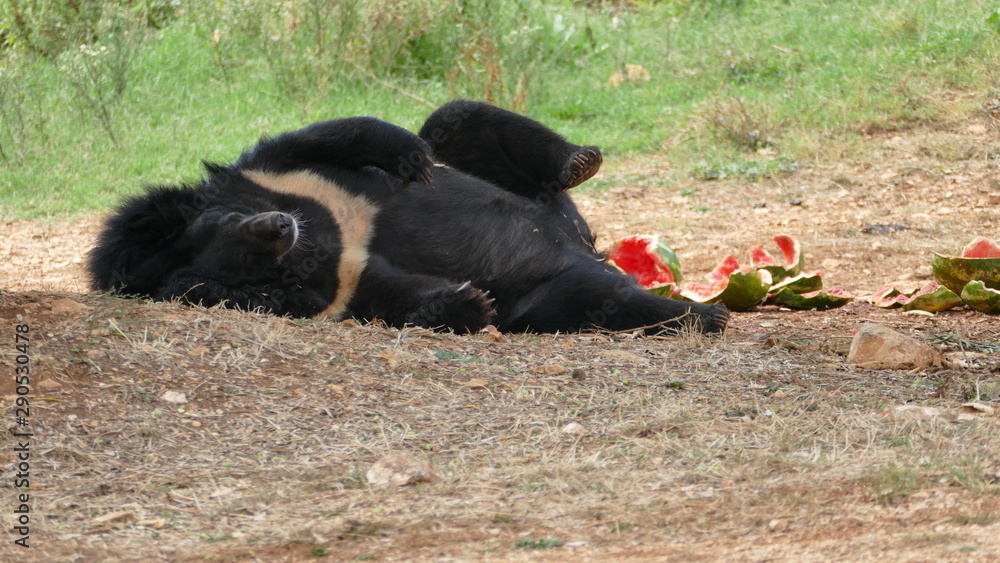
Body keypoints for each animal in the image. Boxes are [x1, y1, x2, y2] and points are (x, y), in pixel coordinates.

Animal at [87, 100, 728, 335]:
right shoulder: (336, 284)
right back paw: (702, 313)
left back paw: (577, 161)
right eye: (238, 271)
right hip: (552, 294)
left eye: (219, 224)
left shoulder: (274, 173)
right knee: (594, 301)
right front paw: (469, 302)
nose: (277, 229)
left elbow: (326, 136)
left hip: (538, 198)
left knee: (456, 117)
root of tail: (583, 248)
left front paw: (410, 158)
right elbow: (388, 293)